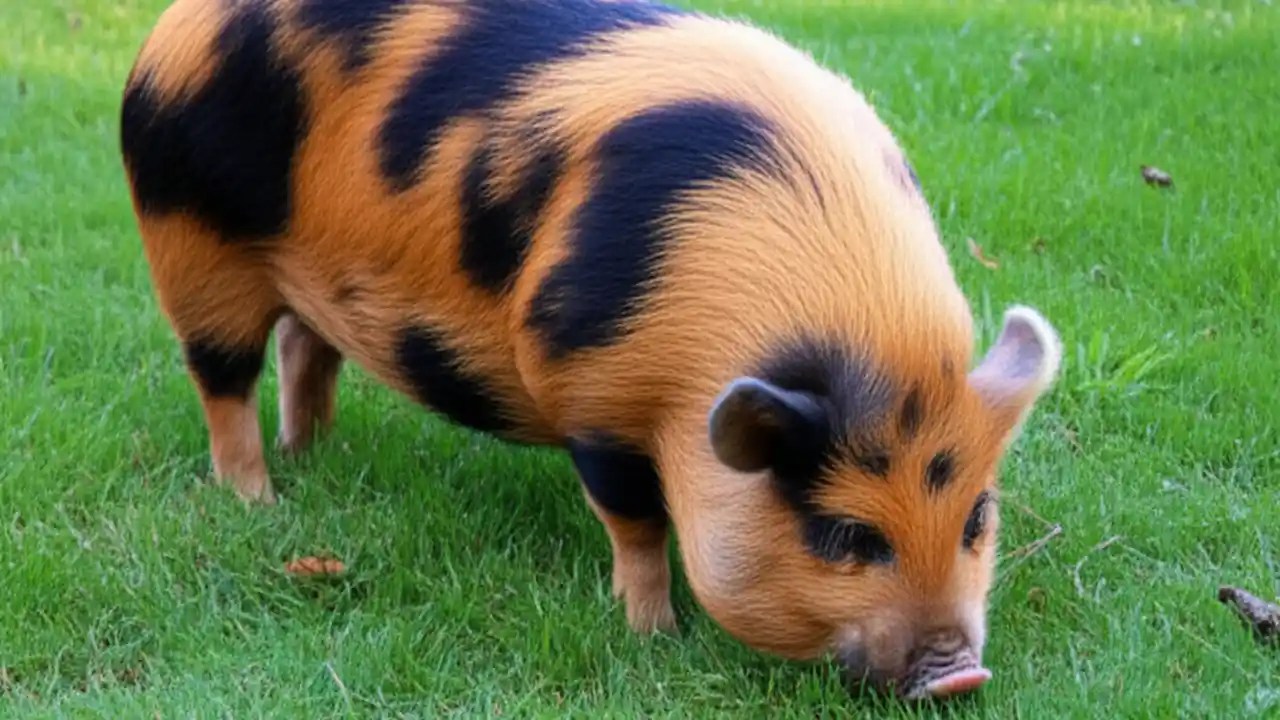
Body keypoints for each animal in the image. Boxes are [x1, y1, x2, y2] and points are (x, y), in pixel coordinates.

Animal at [119, 0, 1062, 700]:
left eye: (977, 518)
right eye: (844, 535)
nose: (960, 674)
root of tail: (176, 29)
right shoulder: (595, 391)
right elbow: (637, 523)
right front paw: (655, 637)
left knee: (305, 348)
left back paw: (314, 455)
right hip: (188, 238)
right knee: (221, 378)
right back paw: (259, 499)